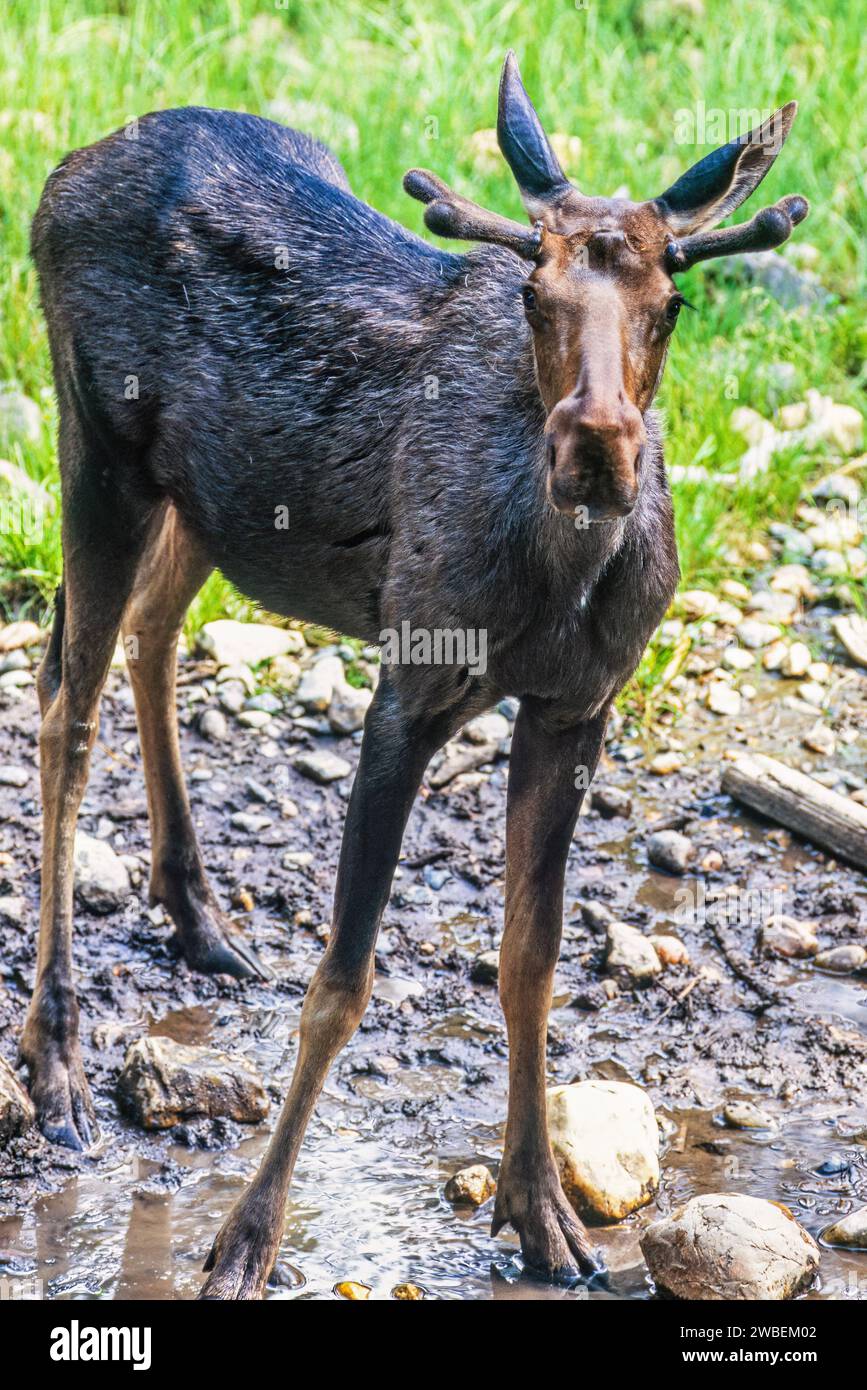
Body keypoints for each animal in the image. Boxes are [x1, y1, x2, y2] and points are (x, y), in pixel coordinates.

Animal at [22, 51, 807, 1297]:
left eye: (673, 302)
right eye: (532, 293)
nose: (597, 444)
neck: (560, 571)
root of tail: (65, 171)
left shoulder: (577, 707)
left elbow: (530, 958)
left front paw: (543, 1216)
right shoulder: (406, 690)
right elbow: (342, 984)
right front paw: (245, 1239)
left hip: (213, 506)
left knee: (152, 639)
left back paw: (196, 911)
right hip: (98, 451)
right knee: (65, 705)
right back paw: (55, 1061)